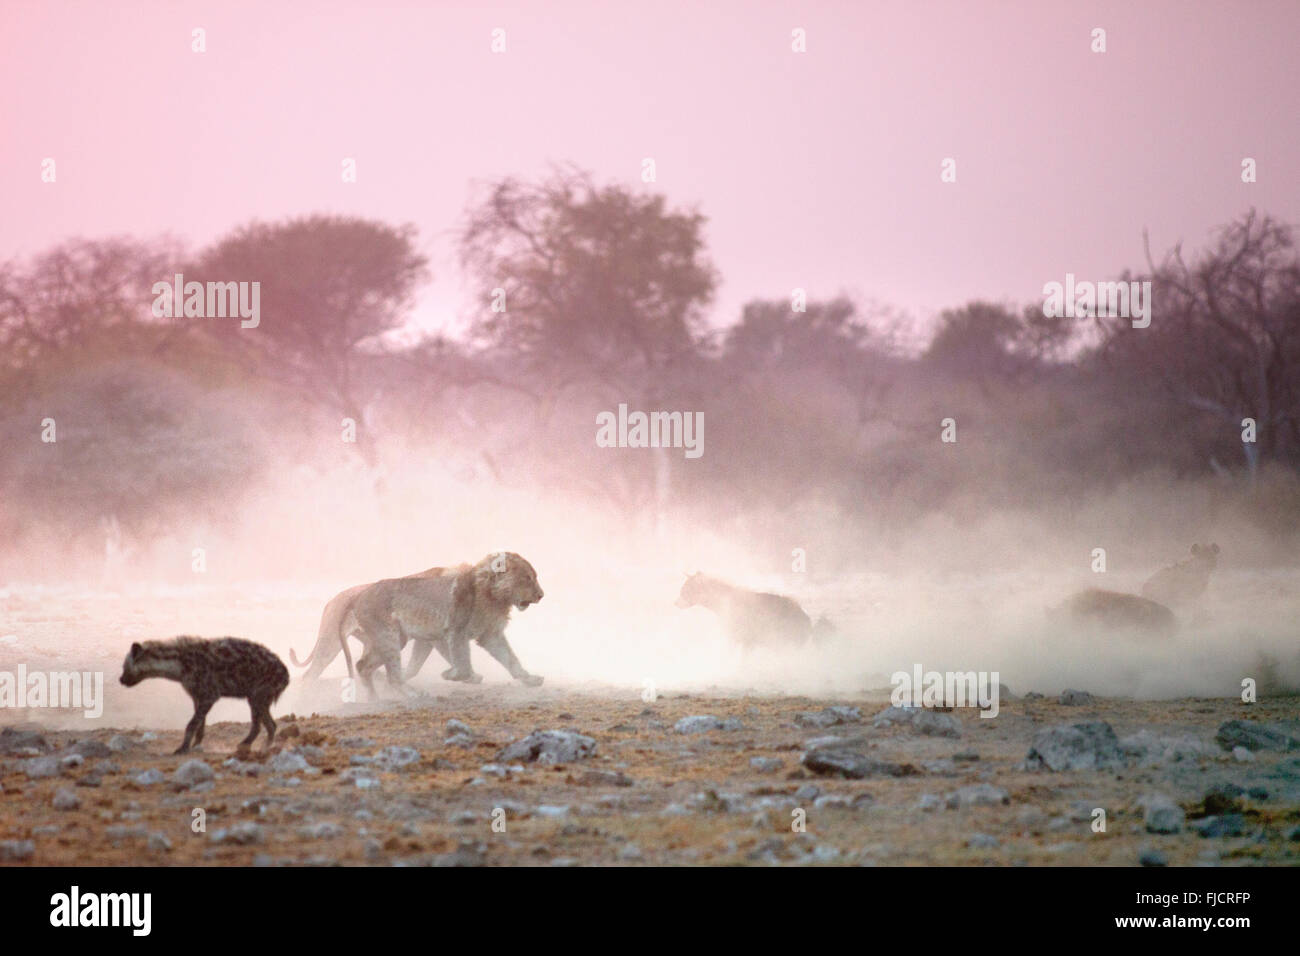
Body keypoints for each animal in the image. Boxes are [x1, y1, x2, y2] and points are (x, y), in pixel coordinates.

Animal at [291, 552, 544, 698]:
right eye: (528, 578)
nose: (541, 595)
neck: (493, 595)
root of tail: (356, 596)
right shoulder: (453, 632)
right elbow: (460, 661)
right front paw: (455, 675)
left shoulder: (488, 635)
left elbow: (511, 660)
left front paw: (530, 680)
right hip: (370, 639)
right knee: (317, 673)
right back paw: (412, 694)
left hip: (391, 639)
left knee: (364, 666)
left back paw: (375, 698)